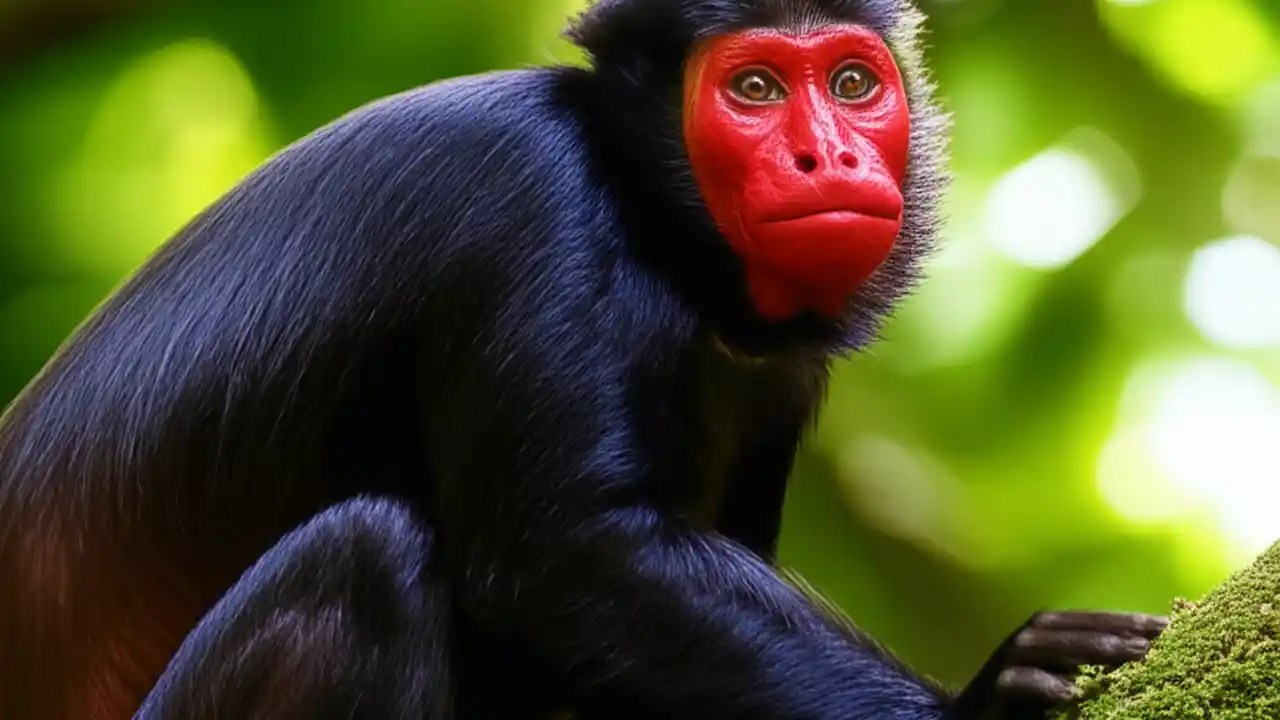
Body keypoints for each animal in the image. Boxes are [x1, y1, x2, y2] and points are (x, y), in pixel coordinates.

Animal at [0, 0, 1166, 718]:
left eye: (848, 82)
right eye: (752, 89)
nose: (826, 155)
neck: (661, 229)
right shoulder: (529, 192)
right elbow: (567, 556)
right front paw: (987, 698)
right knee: (361, 561)